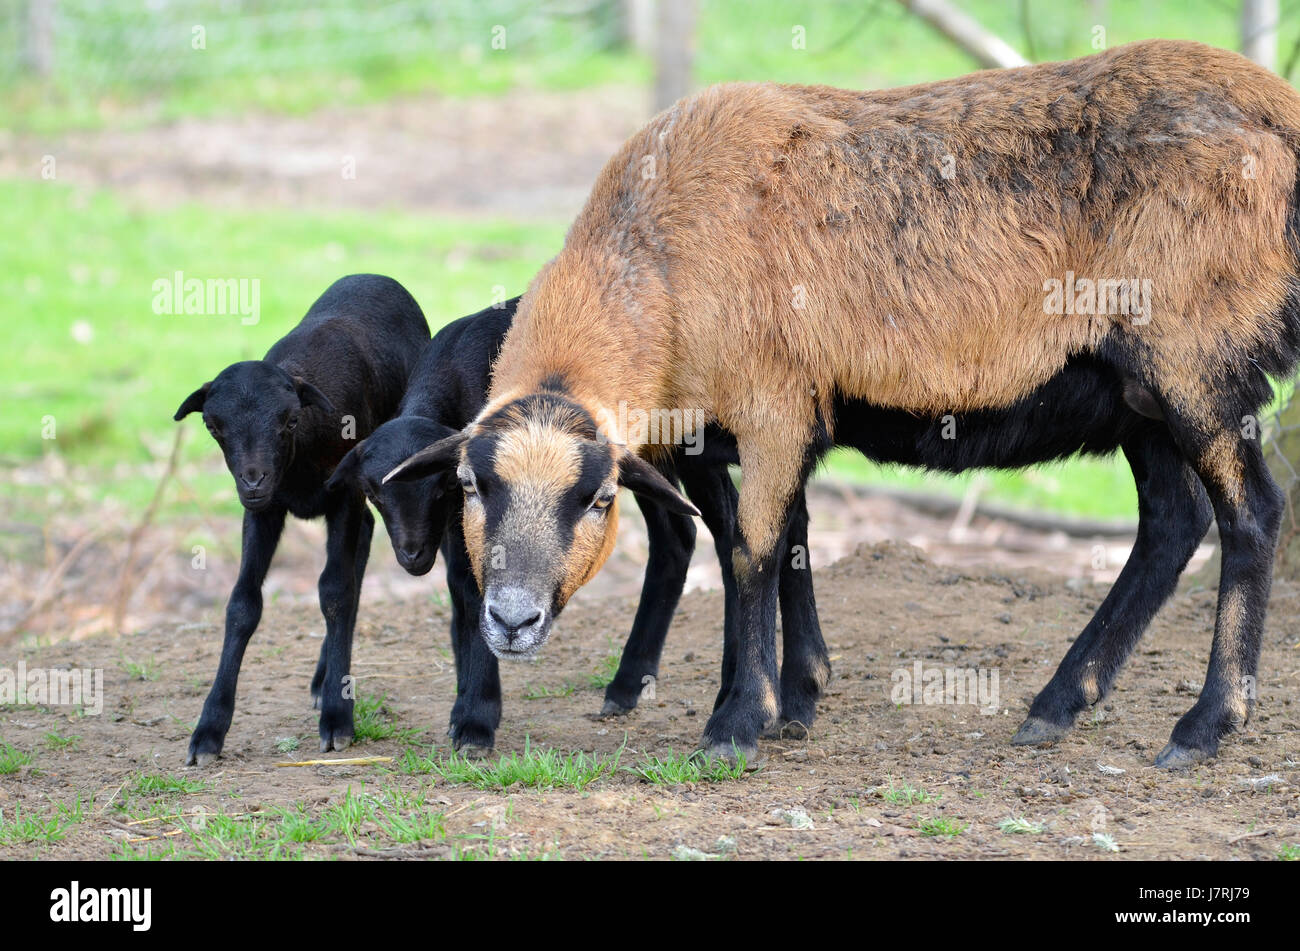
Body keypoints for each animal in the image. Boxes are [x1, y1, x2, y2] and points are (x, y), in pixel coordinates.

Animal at [174, 274, 430, 764]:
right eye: (214, 427)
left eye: (289, 421)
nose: (253, 479)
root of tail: (374, 276)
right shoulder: (264, 511)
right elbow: (242, 604)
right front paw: (208, 731)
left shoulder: (345, 493)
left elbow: (335, 592)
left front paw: (337, 719)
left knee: (353, 562)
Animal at [334, 297, 827, 750]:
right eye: (374, 494)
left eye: (441, 490)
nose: (412, 556)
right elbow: (464, 592)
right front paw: (467, 704)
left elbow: (472, 588)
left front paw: (476, 720)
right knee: (684, 534)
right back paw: (630, 684)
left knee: (730, 533)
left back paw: (733, 690)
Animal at [388, 39, 1300, 767]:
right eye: (470, 487)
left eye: (598, 498)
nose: (511, 619)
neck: (654, 258)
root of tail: (1277, 105)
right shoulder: (734, 425)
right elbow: (777, 540)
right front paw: (796, 695)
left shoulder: (772, 405)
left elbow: (752, 550)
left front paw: (736, 723)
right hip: (1137, 395)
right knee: (1172, 524)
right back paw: (1058, 704)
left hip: (1196, 361)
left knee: (1250, 513)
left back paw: (1204, 725)